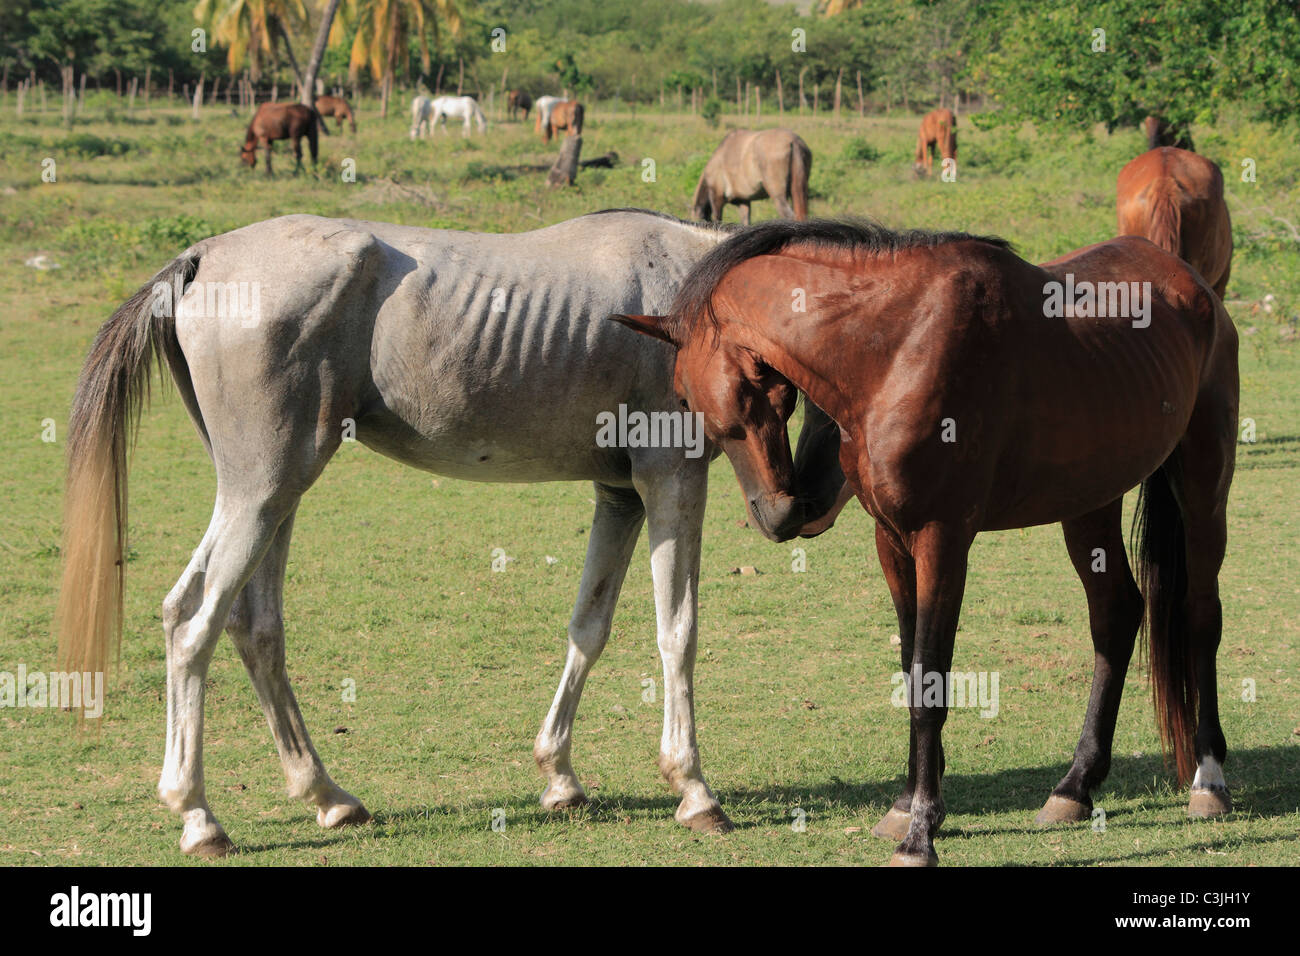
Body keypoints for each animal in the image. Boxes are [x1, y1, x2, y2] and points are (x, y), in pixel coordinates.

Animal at [55, 209, 762, 858]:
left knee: (253, 627)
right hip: (259, 495)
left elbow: (589, 627)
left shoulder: (619, 495)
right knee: (190, 622)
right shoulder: (672, 480)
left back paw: (328, 797)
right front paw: (695, 791)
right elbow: (679, 632)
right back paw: (199, 817)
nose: (777, 511)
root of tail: (201, 258)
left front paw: (562, 778)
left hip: (272, 499)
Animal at [611, 218, 1239, 867]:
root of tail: (1193, 283)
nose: (780, 513)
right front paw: (907, 806)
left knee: (1199, 615)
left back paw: (1209, 779)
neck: (897, 347)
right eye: (686, 399)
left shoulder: (943, 541)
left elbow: (930, 683)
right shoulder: (893, 542)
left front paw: (919, 836)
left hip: (1203, 487)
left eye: (736, 390)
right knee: (1116, 615)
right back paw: (1074, 787)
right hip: (1089, 505)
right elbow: (912, 670)